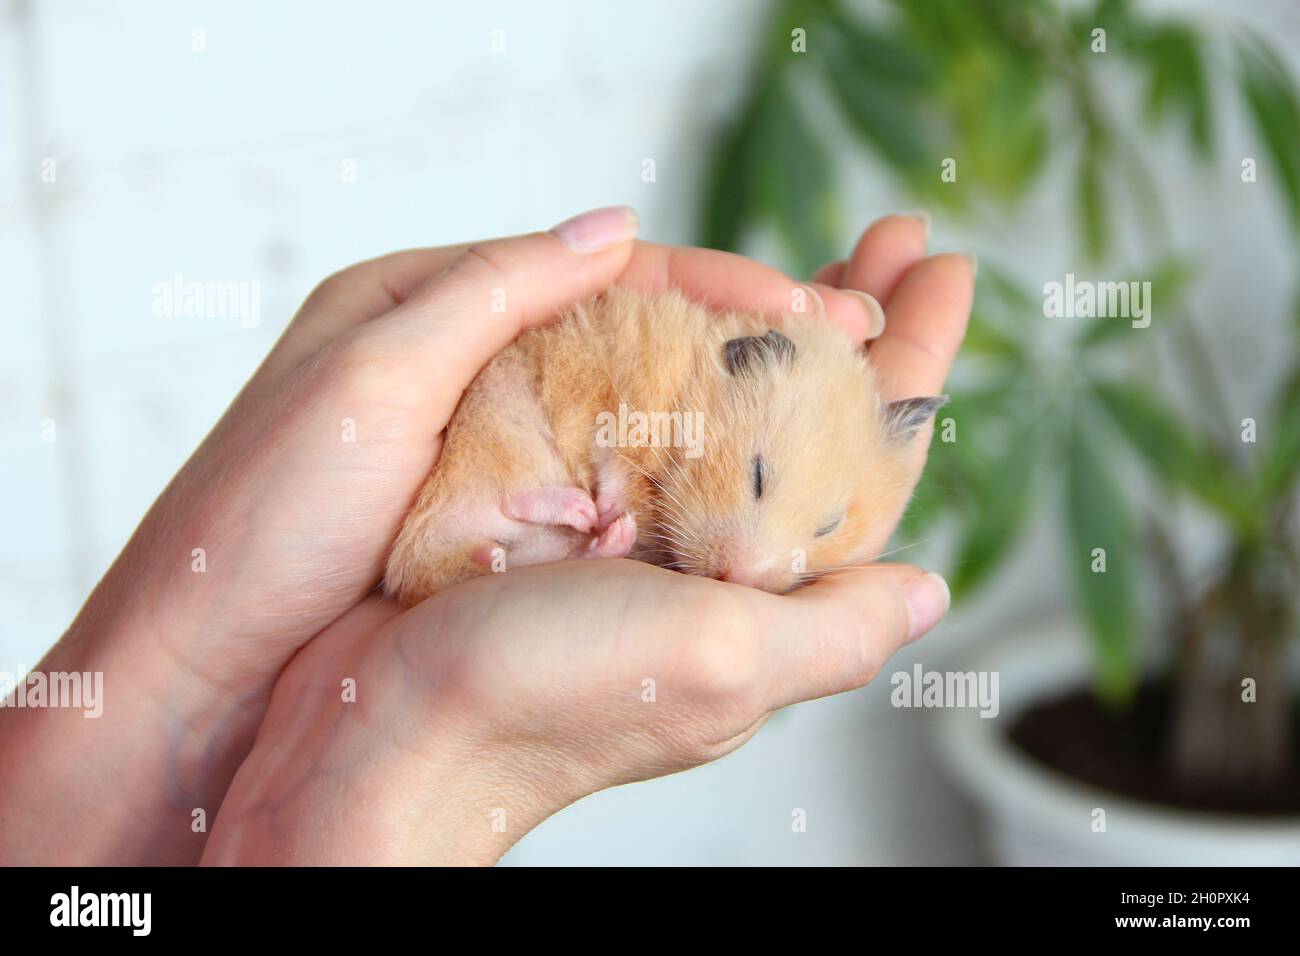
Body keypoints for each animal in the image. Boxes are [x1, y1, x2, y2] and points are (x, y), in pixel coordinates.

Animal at [384, 287, 945, 606]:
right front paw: (611, 505)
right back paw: (585, 510)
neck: (685, 395)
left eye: (829, 526)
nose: (737, 579)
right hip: (497, 428)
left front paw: (616, 519)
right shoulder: (613, 396)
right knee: (509, 496)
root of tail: (408, 570)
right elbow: (614, 457)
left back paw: (603, 534)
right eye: (756, 476)